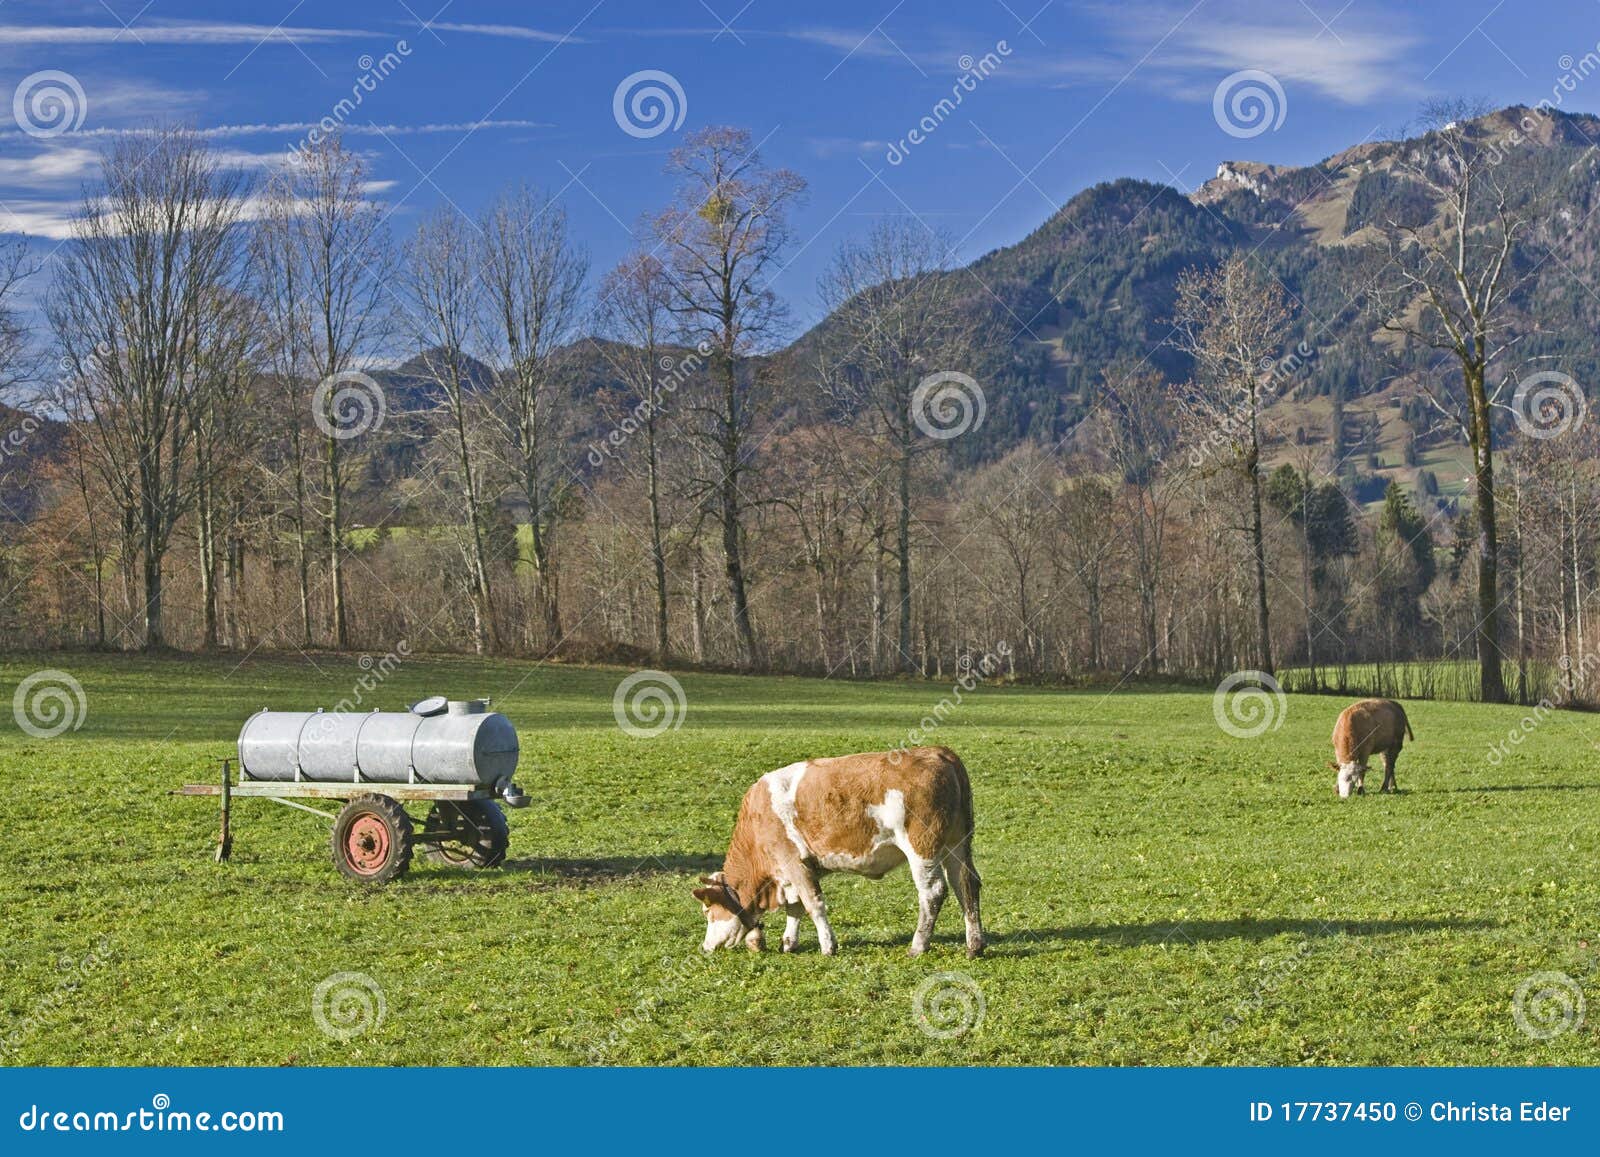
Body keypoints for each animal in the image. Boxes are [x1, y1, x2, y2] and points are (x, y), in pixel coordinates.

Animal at [693, 746, 986, 958]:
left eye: (707, 912)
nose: (705, 947)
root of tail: (938, 752)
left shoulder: (792, 860)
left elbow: (813, 904)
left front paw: (827, 946)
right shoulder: (796, 871)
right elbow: (796, 907)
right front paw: (789, 943)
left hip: (922, 847)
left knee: (933, 892)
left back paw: (918, 945)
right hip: (957, 844)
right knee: (967, 885)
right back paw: (974, 946)